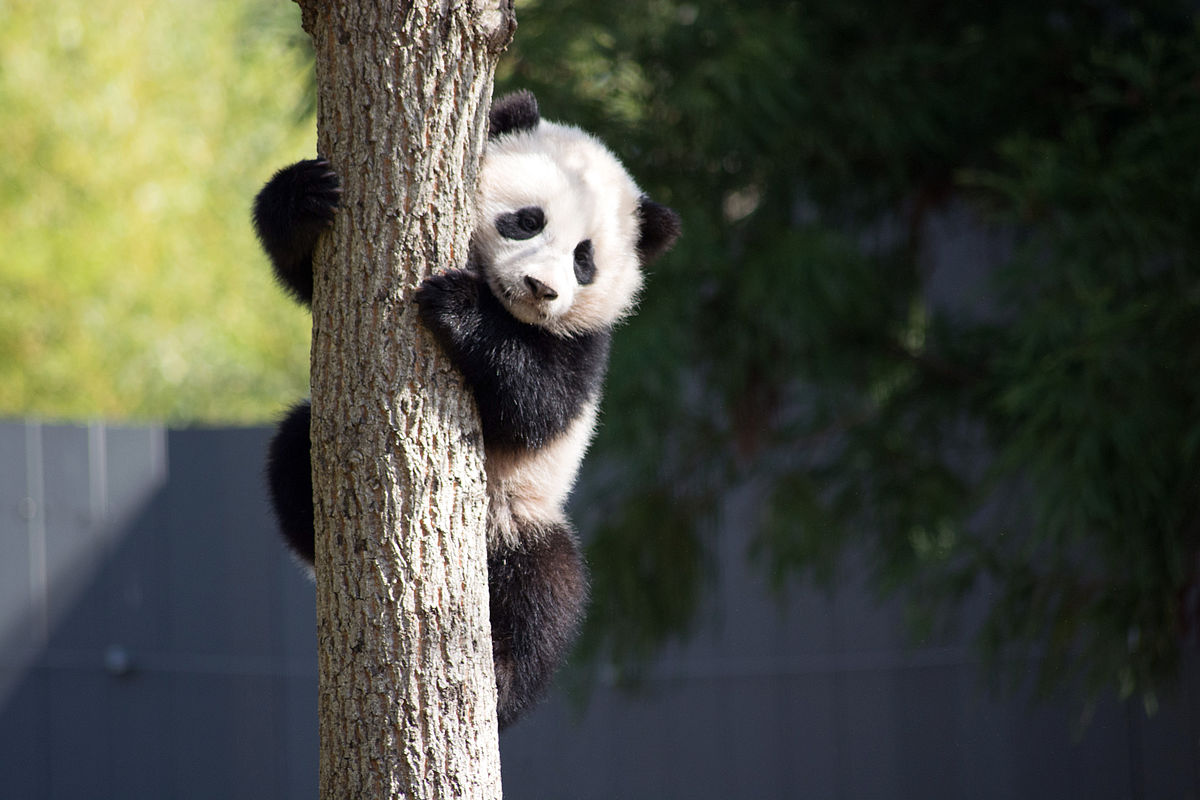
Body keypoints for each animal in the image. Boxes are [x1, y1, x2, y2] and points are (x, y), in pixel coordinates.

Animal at [253, 91, 681, 728]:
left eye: (584, 260)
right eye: (528, 219)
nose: (541, 288)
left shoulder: (585, 346)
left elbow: (537, 405)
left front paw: (459, 307)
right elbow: (304, 275)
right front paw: (306, 193)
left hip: (519, 516)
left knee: (546, 593)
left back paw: (502, 678)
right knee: (290, 445)